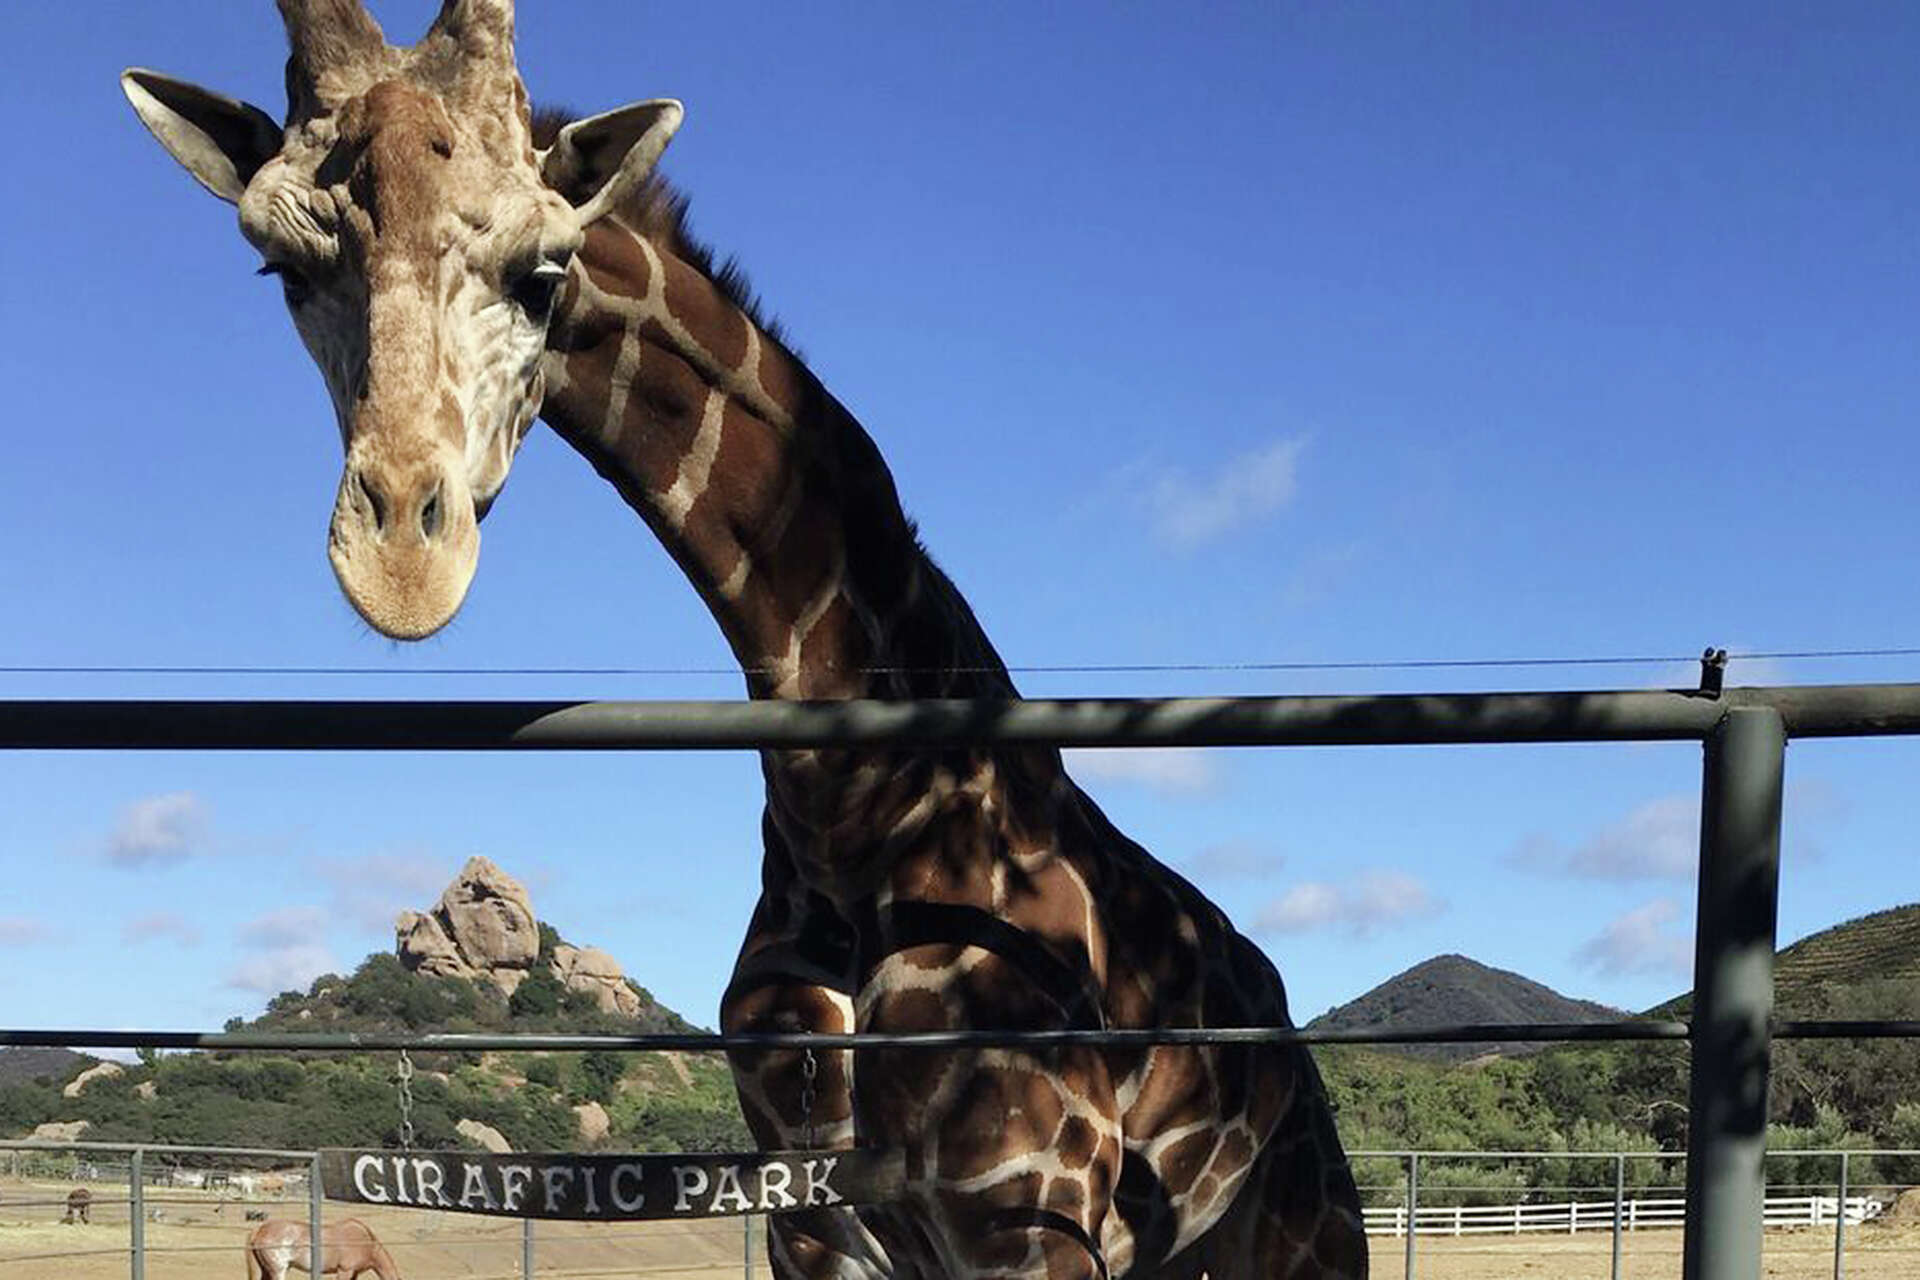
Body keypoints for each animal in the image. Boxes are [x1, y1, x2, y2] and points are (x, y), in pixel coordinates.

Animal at [122, 4, 1368, 1277]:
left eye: (543, 272)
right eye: (282, 267)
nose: (401, 576)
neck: (856, 815)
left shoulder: (1029, 1210)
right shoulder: (812, 1220)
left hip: (1303, 1228)